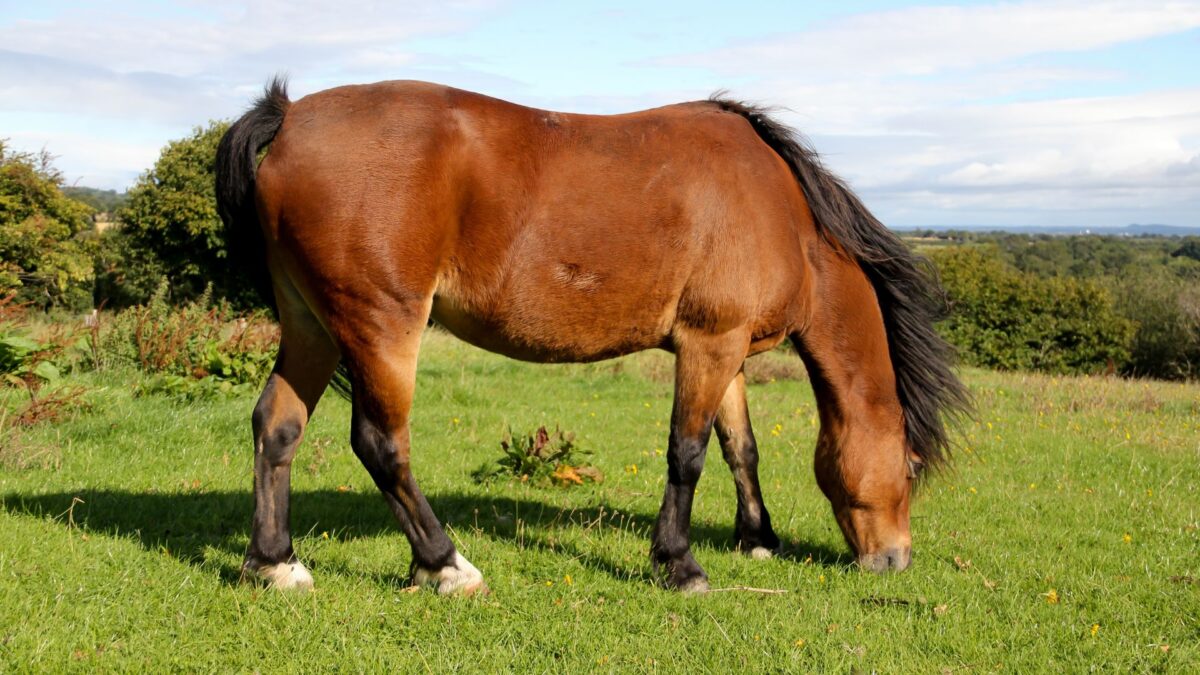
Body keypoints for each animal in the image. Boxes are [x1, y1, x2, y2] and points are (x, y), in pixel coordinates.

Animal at [215, 78, 969, 594]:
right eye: (909, 468)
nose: (894, 559)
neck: (782, 211)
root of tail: (289, 116)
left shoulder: (727, 351)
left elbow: (741, 449)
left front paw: (757, 539)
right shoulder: (708, 344)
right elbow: (689, 454)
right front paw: (679, 563)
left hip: (312, 326)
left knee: (277, 425)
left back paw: (274, 563)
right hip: (380, 326)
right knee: (381, 443)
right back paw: (445, 564)